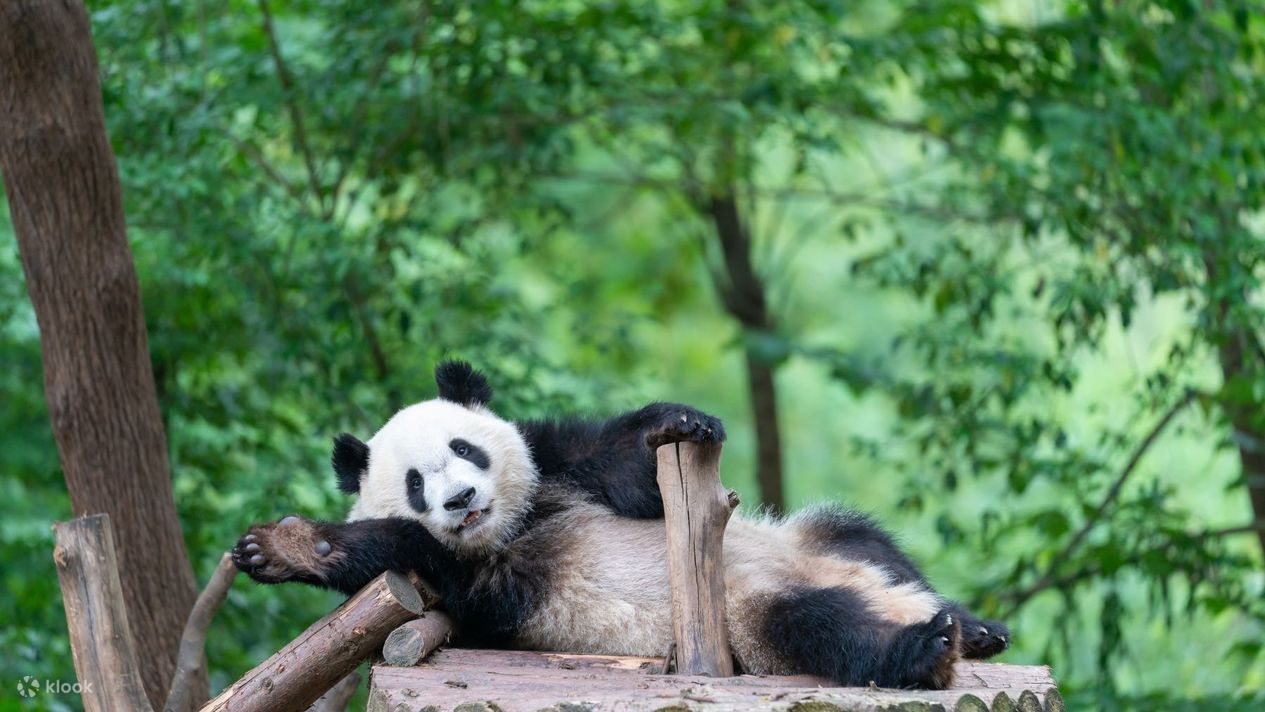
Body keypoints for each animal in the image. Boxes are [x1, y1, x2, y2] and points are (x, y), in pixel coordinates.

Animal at [232, 361, 1009, 689]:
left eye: (465, 449)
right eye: (415, 484)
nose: (460, 500)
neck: (513, 525)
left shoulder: (558, 464)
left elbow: (629, 470)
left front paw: (681, 422)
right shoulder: (483, 584)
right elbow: (407, 550)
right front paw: (281, 547)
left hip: (813, 541)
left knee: (867, 541)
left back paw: (971, 627)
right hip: (747, 620)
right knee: (820, 628)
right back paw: (925, 648)